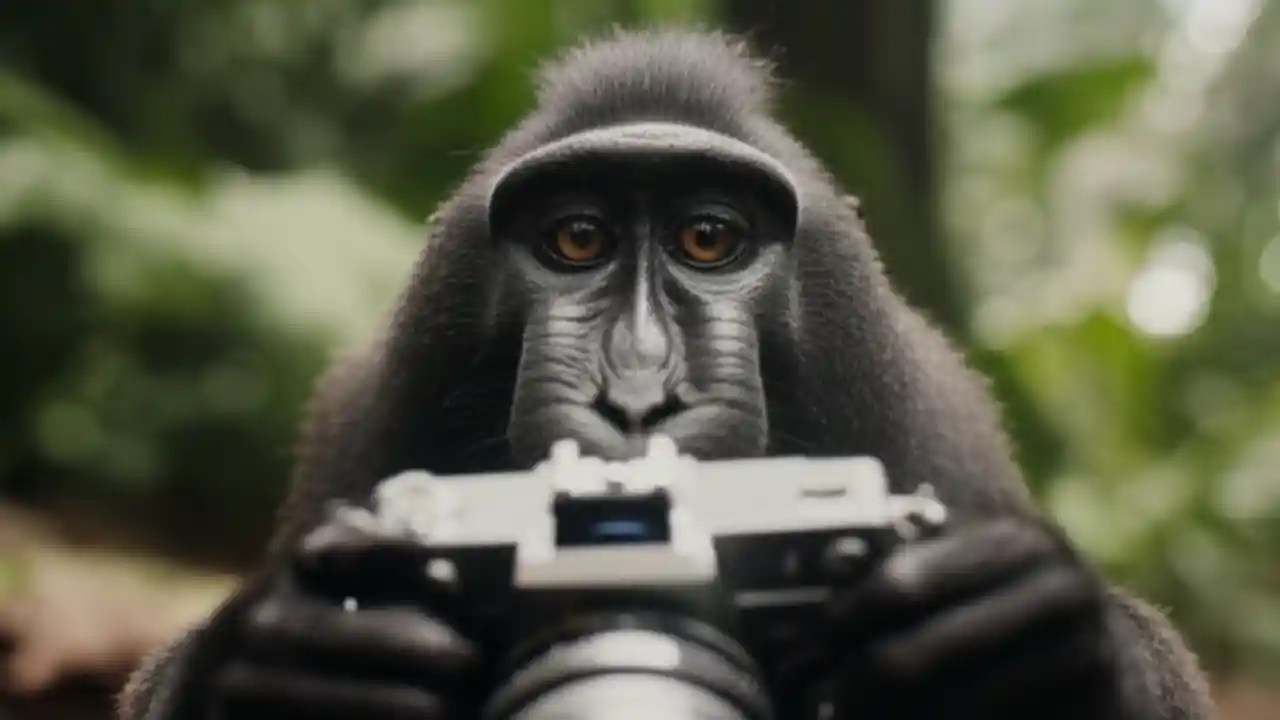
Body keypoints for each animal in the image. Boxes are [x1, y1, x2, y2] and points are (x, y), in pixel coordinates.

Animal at [119, 30, 1213, 720]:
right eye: (576, 240)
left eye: (706, 239)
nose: (639, 392)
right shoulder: (360, 415)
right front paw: (268, 663)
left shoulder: (938, 420)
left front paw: (1039, 644)